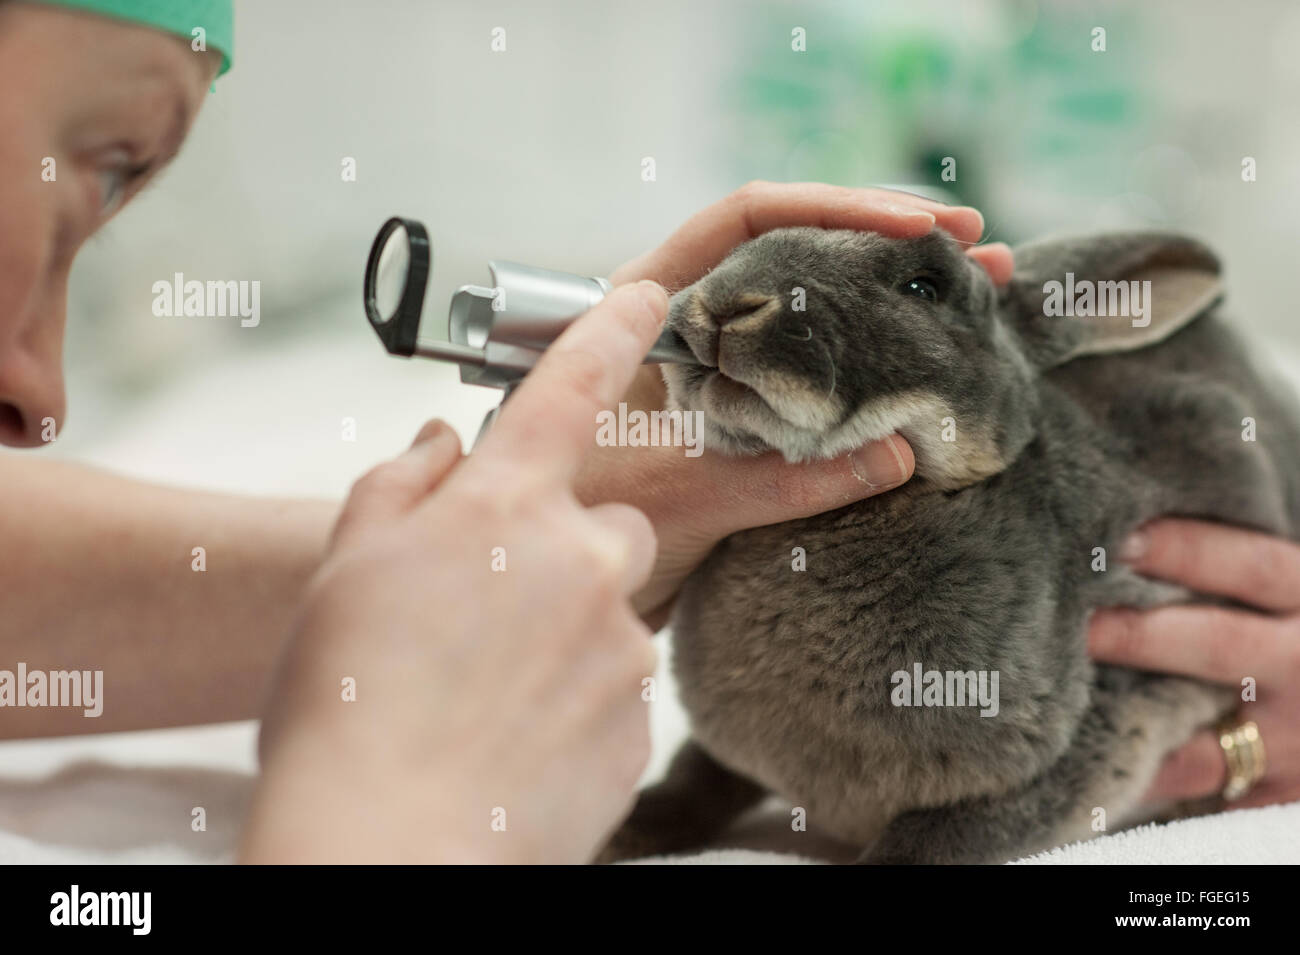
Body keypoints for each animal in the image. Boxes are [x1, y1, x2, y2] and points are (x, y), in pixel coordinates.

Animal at [597, 226, 1300, 864]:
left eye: (923, 287)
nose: (728, 302)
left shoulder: (1087, 742)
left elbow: (925, 845)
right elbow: (694, 779)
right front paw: (621, 833)